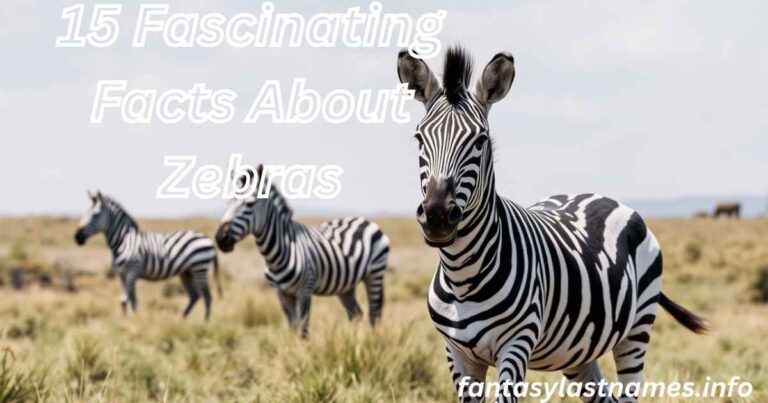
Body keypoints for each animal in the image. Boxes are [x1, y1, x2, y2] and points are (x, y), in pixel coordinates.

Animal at [74, 191, 221, 320]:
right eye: (85, 213)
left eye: (95, 215)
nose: (77, 237)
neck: (123, 241)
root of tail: (209, 240)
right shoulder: (122, 274)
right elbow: (131, 300)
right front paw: (132, 320)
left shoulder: (133, 270)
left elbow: (126, 300)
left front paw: (130, 321)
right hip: (186, 272)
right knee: (195, 296)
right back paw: (181, 319)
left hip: (200, 267)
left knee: (207, 297)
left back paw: (204, 323)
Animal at [214, 165, 390, 338]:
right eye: (227, 202)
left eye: (250, 204)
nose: (220, 238)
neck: (277, 254)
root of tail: (366, 221)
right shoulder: (281, 293)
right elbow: (293, 327)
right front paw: (291, 347)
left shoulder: (305, 290)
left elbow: (304, 330)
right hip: (346, 285)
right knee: (356, 314)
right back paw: (353, 341)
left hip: (375, 274)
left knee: (374, 316)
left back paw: (372, 343)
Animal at [397, 46, 710, 403]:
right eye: (419, 138)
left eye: (480, 140)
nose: (437, 214)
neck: (463, 276)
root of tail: (600, 196)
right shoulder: (457, 354)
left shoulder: (516, 344)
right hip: (579, 351)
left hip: (638, 327)